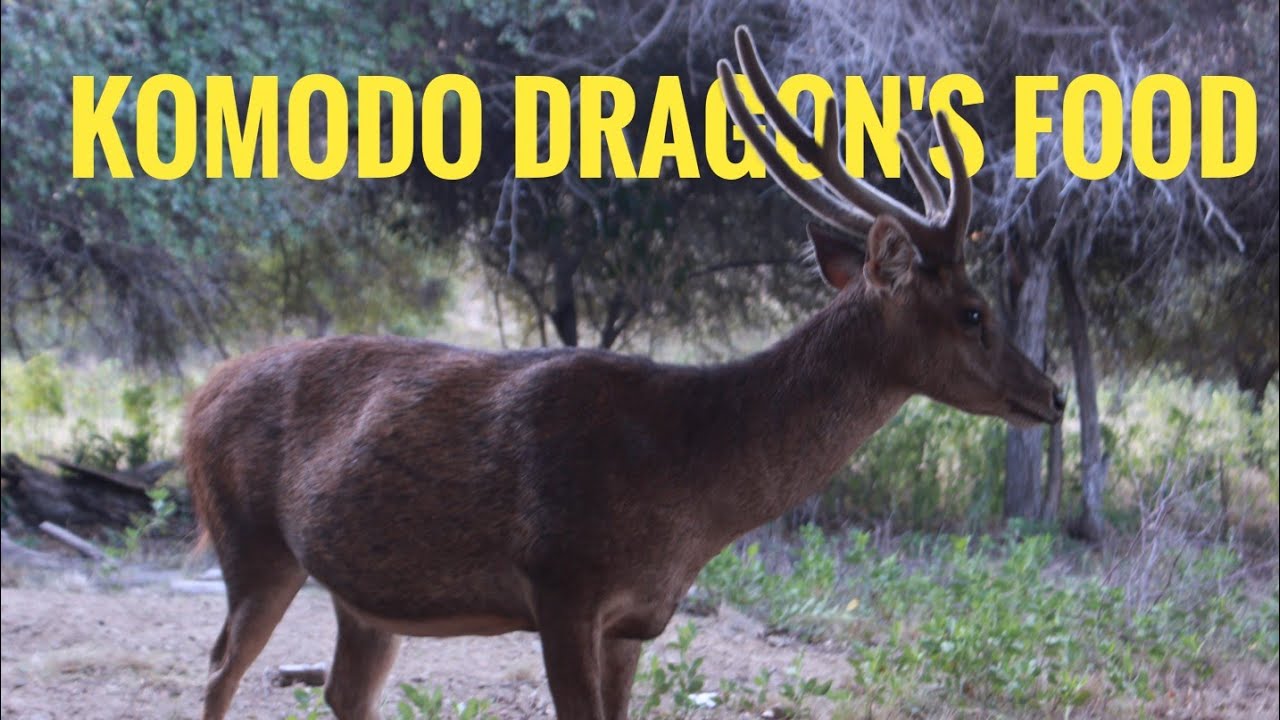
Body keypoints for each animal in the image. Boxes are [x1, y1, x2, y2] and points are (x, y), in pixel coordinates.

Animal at [183, 25, 1064, 720]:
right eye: (974, 312)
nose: (1052, 394)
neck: (689, 480)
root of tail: (196, 402)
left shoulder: (637, 620)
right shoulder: (561, 583)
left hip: (361, 587)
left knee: (341, 689)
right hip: (251, 541)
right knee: (220, 668)